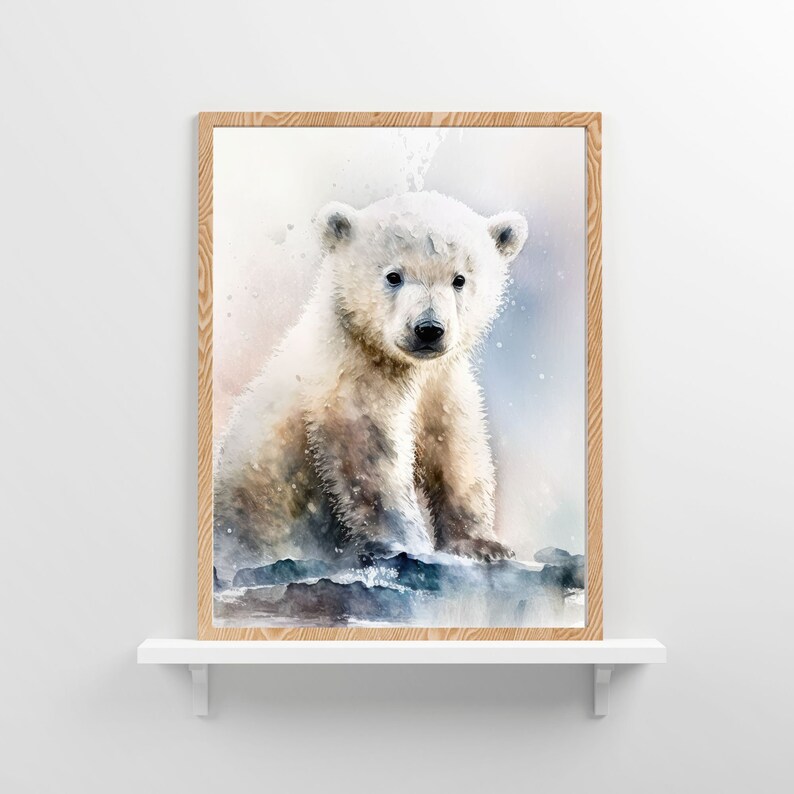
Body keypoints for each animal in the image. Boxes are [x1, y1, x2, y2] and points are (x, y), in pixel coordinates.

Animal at [213, 191, 528, 581]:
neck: (400, 365)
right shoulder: (349, 382)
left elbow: (457, 449)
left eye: (459, 279)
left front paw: (483, 544)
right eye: (393, 275)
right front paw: (407, 545)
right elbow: (373, 457)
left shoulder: (443, 383)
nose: (428, 329)